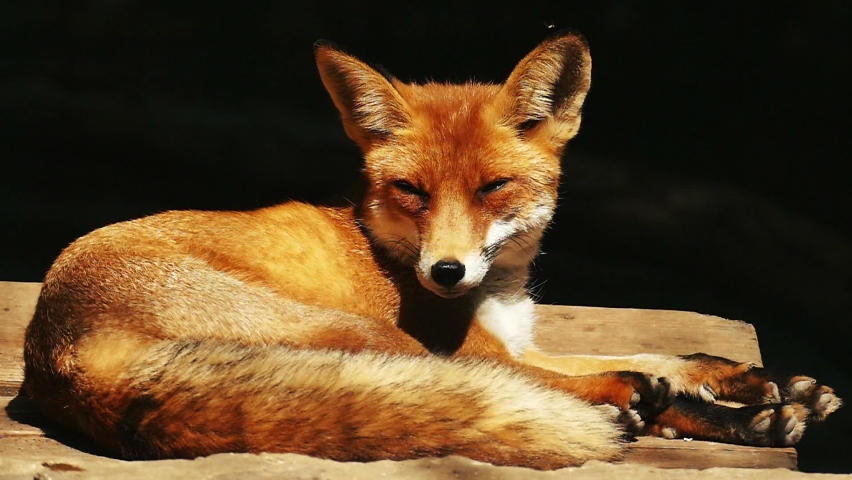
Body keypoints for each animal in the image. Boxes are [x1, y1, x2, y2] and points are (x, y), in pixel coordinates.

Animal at [21, 32, 841, 470]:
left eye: (493, 187)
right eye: (412, 191)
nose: (446, 271)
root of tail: (61, 356)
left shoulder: (513, 342)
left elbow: (664, 354)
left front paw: (758, 380)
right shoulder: (479, 350)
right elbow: (626, 371)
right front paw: (744, 406)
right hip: (377, 341)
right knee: (597, 395)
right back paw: (695, 417)